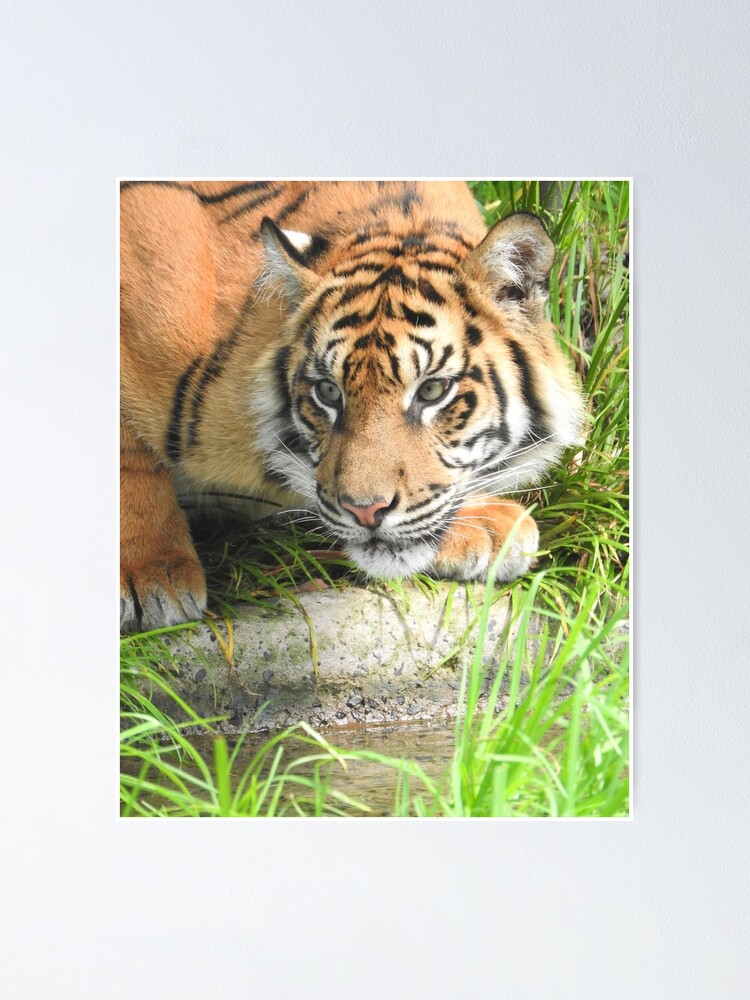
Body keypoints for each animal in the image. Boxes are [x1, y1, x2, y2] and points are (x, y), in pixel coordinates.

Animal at [120, 180, 584, 632]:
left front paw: (484, 525)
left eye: (432, 391)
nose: (366, 511)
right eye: (329, 392)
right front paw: (150, 573)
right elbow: (128, 457)